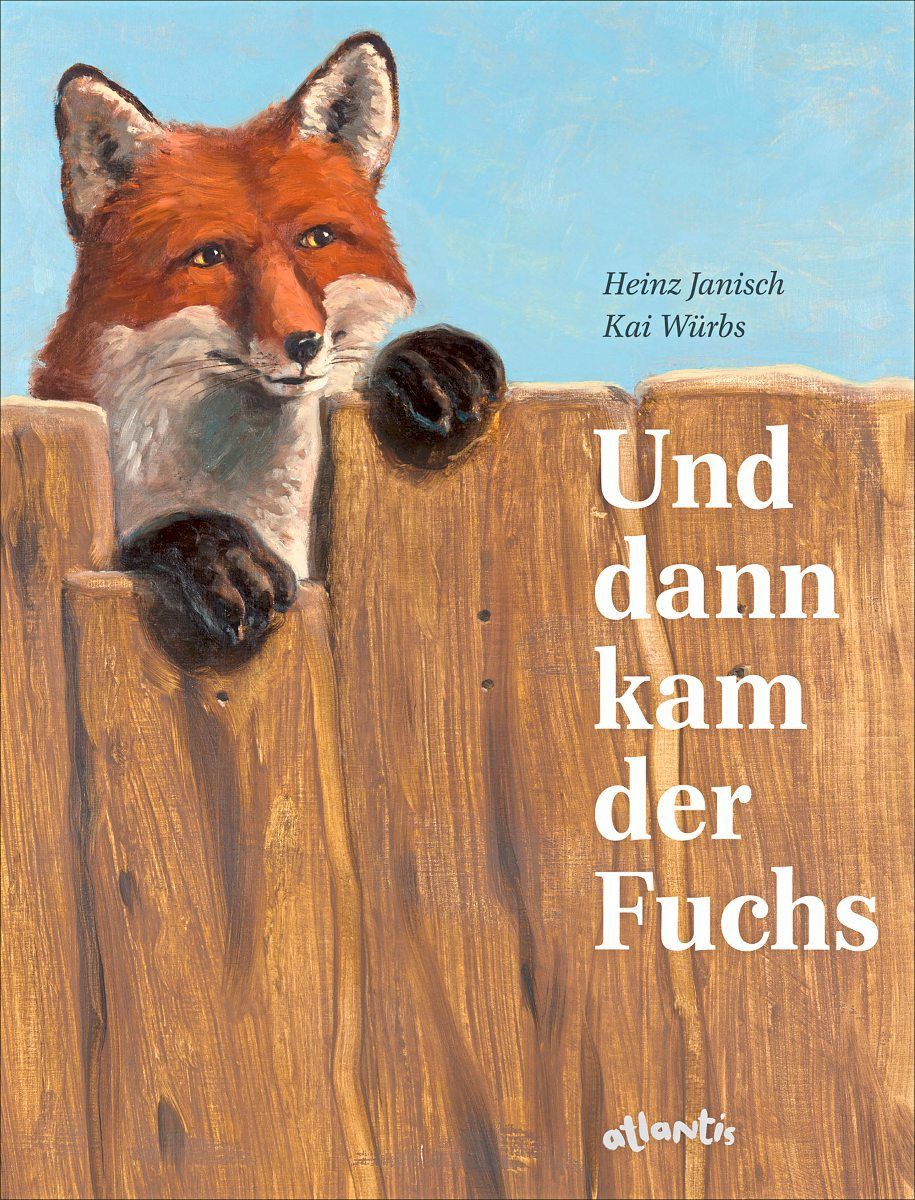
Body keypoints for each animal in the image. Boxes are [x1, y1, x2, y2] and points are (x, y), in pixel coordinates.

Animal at [34, 31, 503, 657]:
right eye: (210, 256)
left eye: (317, 239)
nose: (304, 343)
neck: (246, 482)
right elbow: (145, 539)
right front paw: (217, 552)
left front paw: (429, 360)